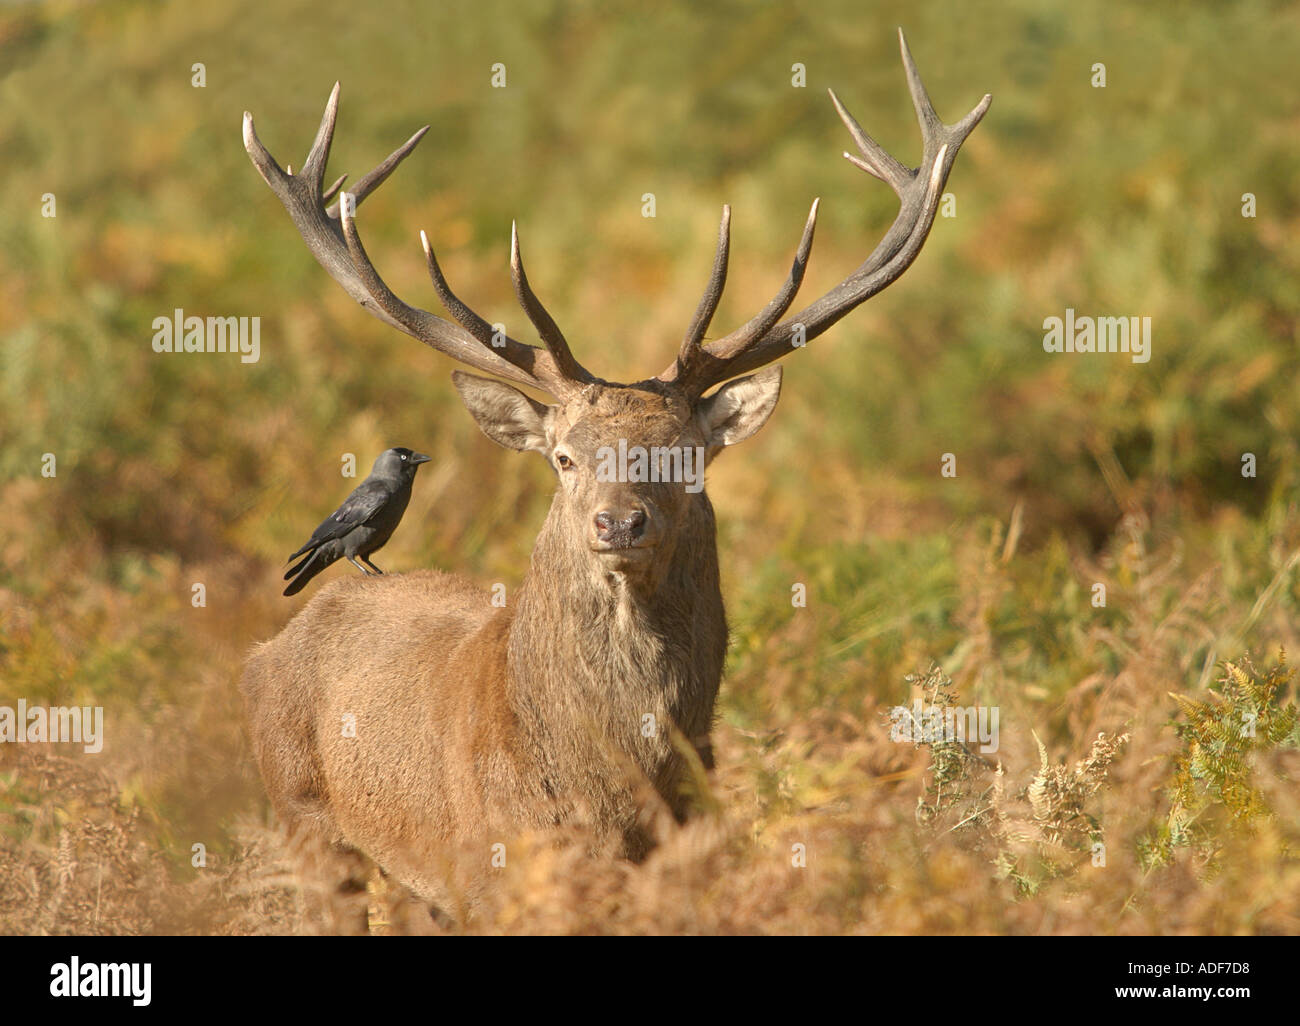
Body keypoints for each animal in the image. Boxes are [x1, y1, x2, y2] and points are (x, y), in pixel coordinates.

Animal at [238, 29, 989, 932]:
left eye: (685, 455)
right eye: (563, 457)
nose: (619, 524)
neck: (608, 802)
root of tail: (267, 647)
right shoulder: (493, 873)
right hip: (308, 817)